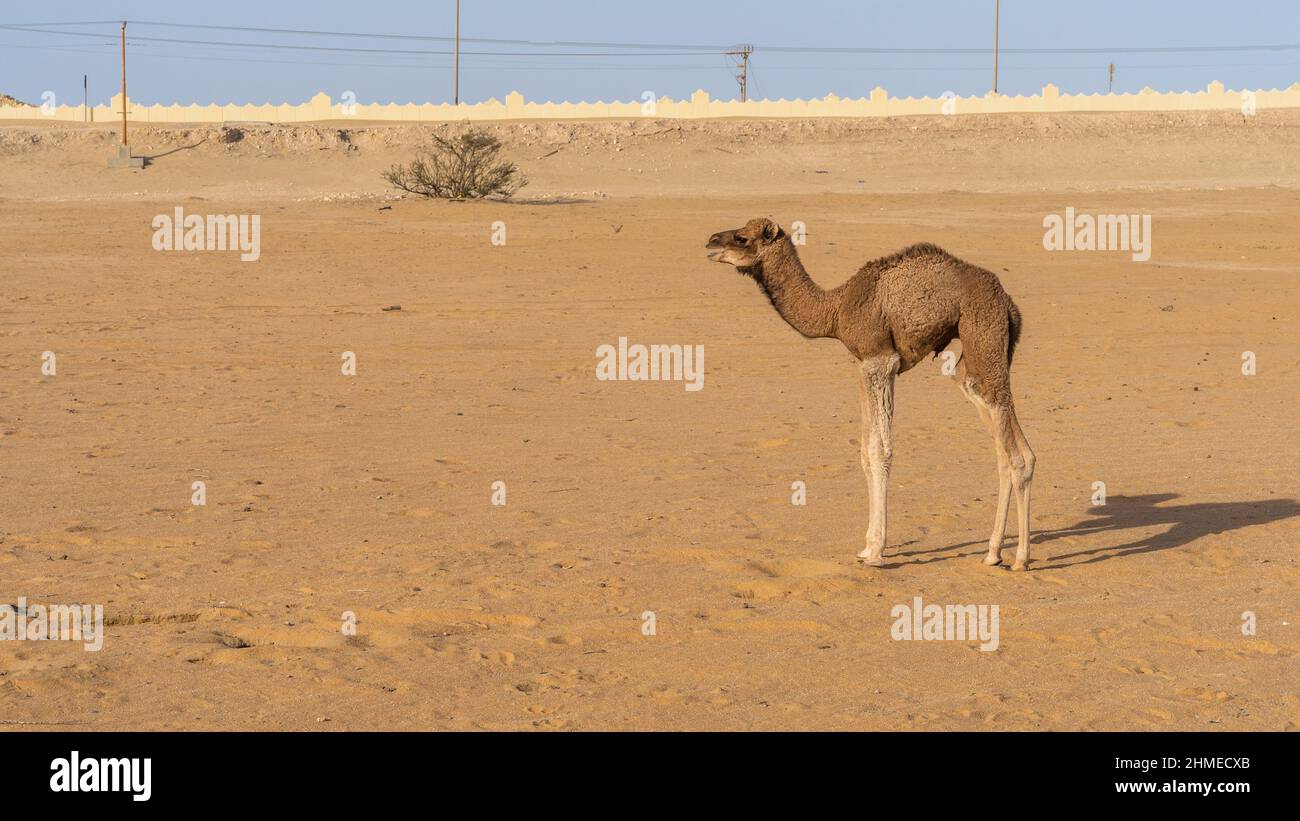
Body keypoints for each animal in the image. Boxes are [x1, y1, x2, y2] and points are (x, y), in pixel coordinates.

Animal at [706, 218, 1036, 570]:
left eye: (742, 237)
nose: (711, 242)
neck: (835, 309)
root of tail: (1009, 305)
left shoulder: (880, 360)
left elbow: (880, 450)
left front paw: (876, 551)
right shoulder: (862, 365)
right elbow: (864, 450)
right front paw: (866, 546)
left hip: (983, 336)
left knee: (1015, 452)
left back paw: (1021, 558)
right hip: (975, 360)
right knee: (1003, 443)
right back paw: (993, 552)